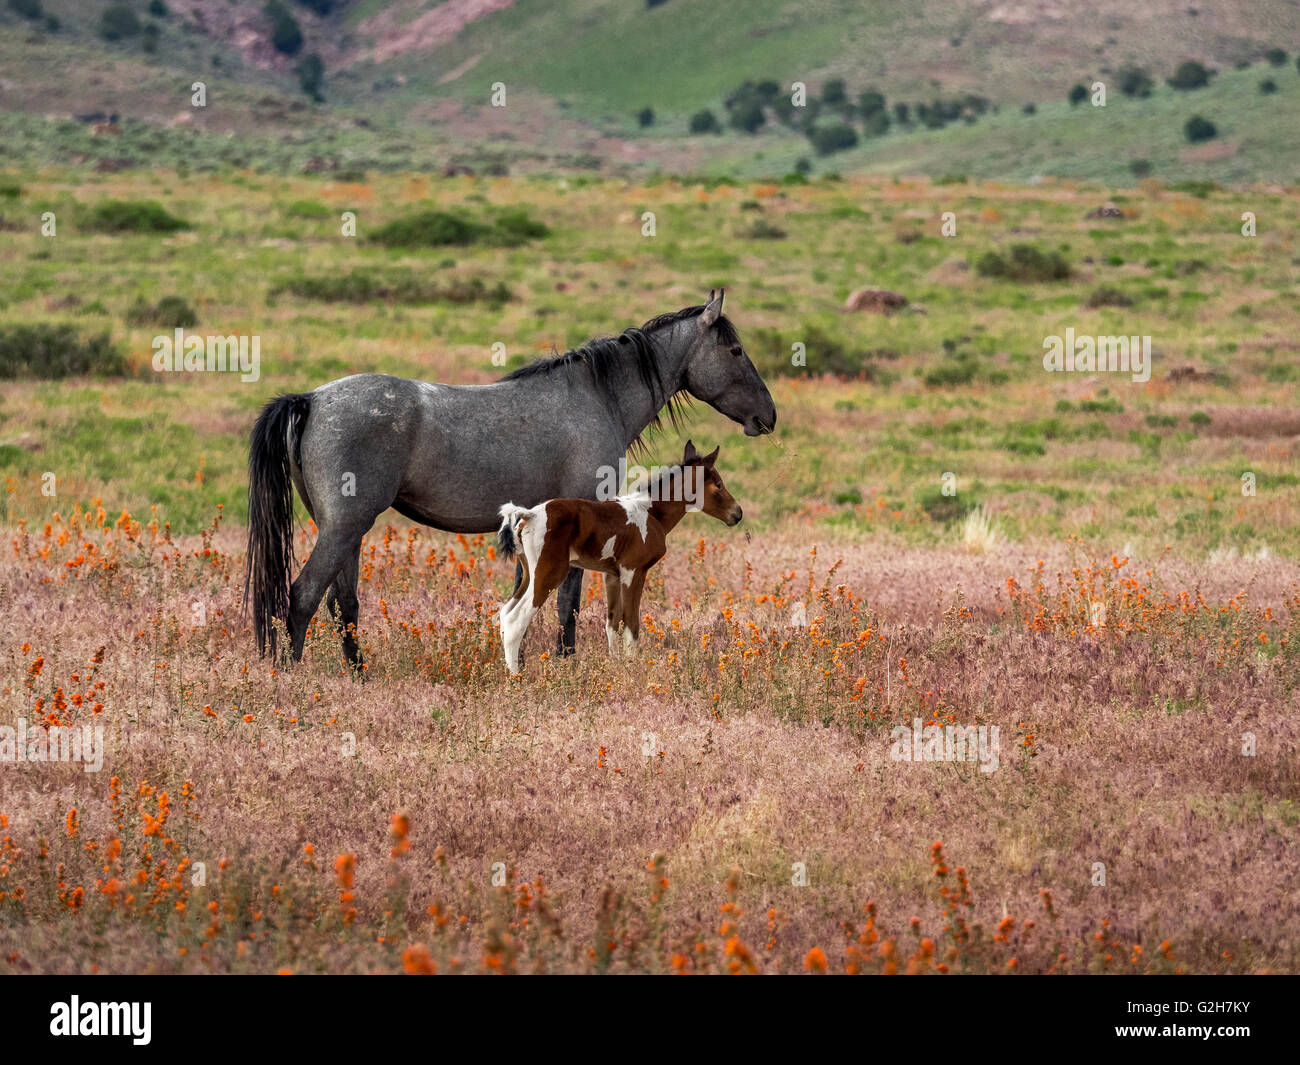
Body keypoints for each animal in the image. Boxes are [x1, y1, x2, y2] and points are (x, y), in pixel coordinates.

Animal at [495, 440, 740, 674]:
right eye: (718, 484)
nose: (738, 513)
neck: (651, 512)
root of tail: (530, 515)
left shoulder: (612, 575)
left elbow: (612, 622)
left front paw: (617, 666)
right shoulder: (633, 571)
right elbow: (631, 623)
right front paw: (633, 668)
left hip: (530, 573)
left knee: (504, 614)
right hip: (550, 573)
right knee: (515, 620)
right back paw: (516, 677)